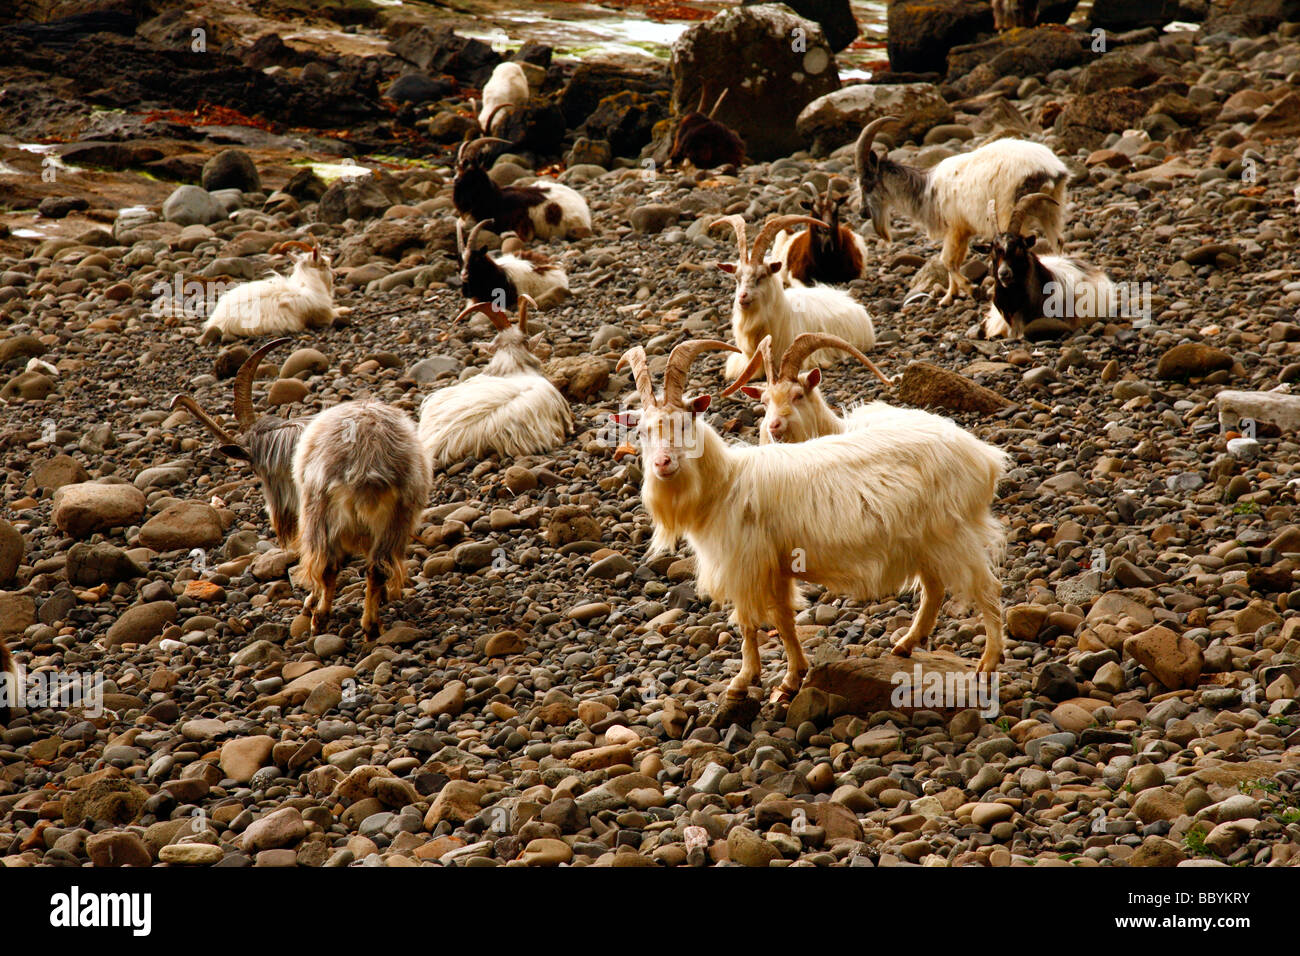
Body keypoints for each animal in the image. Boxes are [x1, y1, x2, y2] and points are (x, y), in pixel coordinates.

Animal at [171, 339, 431, 637]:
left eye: (258, 471)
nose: (276, 516)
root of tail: (369, 462)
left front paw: (310, 602)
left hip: (321, 514)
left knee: (328, 564)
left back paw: (320, 619)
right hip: (398, 518)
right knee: (377, 567)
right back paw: (371, 626)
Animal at [199, 241, 348, 343]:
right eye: (324, 264)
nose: (336, 275)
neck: (307, 285)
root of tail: (215, 321)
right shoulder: (324, 315)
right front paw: (347, 310)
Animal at [615, 336, 1008, 705]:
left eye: (685, 423)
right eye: (643, 432)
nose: (663, 463)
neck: (726, 482)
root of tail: (985, 457)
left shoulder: (747, 565)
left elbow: (748, 622)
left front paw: (743, 681)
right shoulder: (775, 566)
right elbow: (784, 621)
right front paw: (792, 678)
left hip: (952, 532)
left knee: (987, 588)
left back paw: (987, 663)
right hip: (925, 540)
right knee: (934, 588)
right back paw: (907, 644)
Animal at [853, 116, 1069, 305]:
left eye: (865, 184)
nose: (862, 212)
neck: (929, 191)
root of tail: (1048, 171)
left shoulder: (955, 228)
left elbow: (947, 261)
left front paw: (972, 290)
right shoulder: (962, 231)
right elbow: (953, 261)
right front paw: (949, 297)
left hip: (1010, 211)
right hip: (1050, 208)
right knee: (1057, 241)